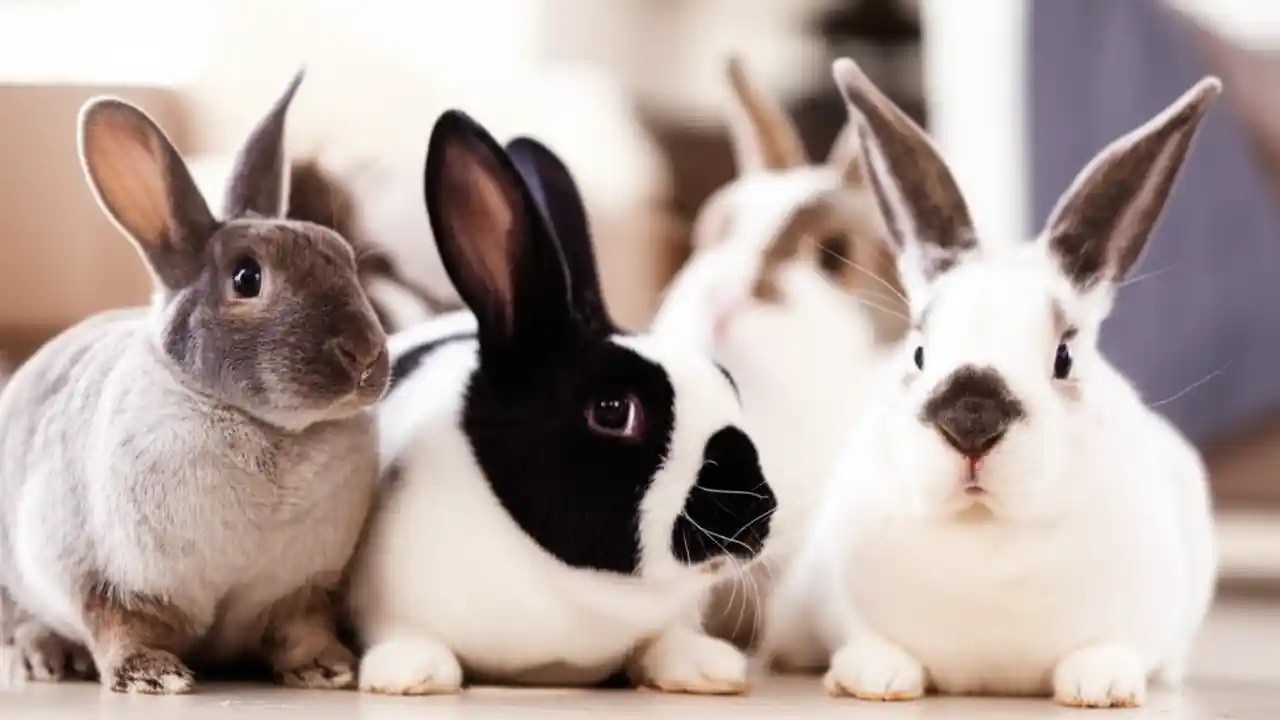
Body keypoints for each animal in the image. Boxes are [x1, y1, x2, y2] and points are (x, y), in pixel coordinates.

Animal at [0, 72, 389, 694]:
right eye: (247, 277)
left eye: (345, 256)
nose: (366, 354)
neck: (264, 427)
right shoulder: (111, 581)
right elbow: (122, 628)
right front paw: (153, 678)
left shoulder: (297, 590)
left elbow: (302, 629)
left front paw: (330, 669)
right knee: (24, 622)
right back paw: (46, 660)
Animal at [347, 111, 777, 695]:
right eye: (614, 410)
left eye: (727, 380)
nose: (759, 511)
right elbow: (400, 631)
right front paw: (411, 673)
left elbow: (663, 638)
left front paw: (709, 666)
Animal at [763, 59, 1220, 709]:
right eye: (919, 351)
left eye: (1064, 357)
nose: (971, 418)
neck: (988, 531)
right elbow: (865, 637)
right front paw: (876, 676)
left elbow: (1113, 647)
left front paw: (1101, 685)